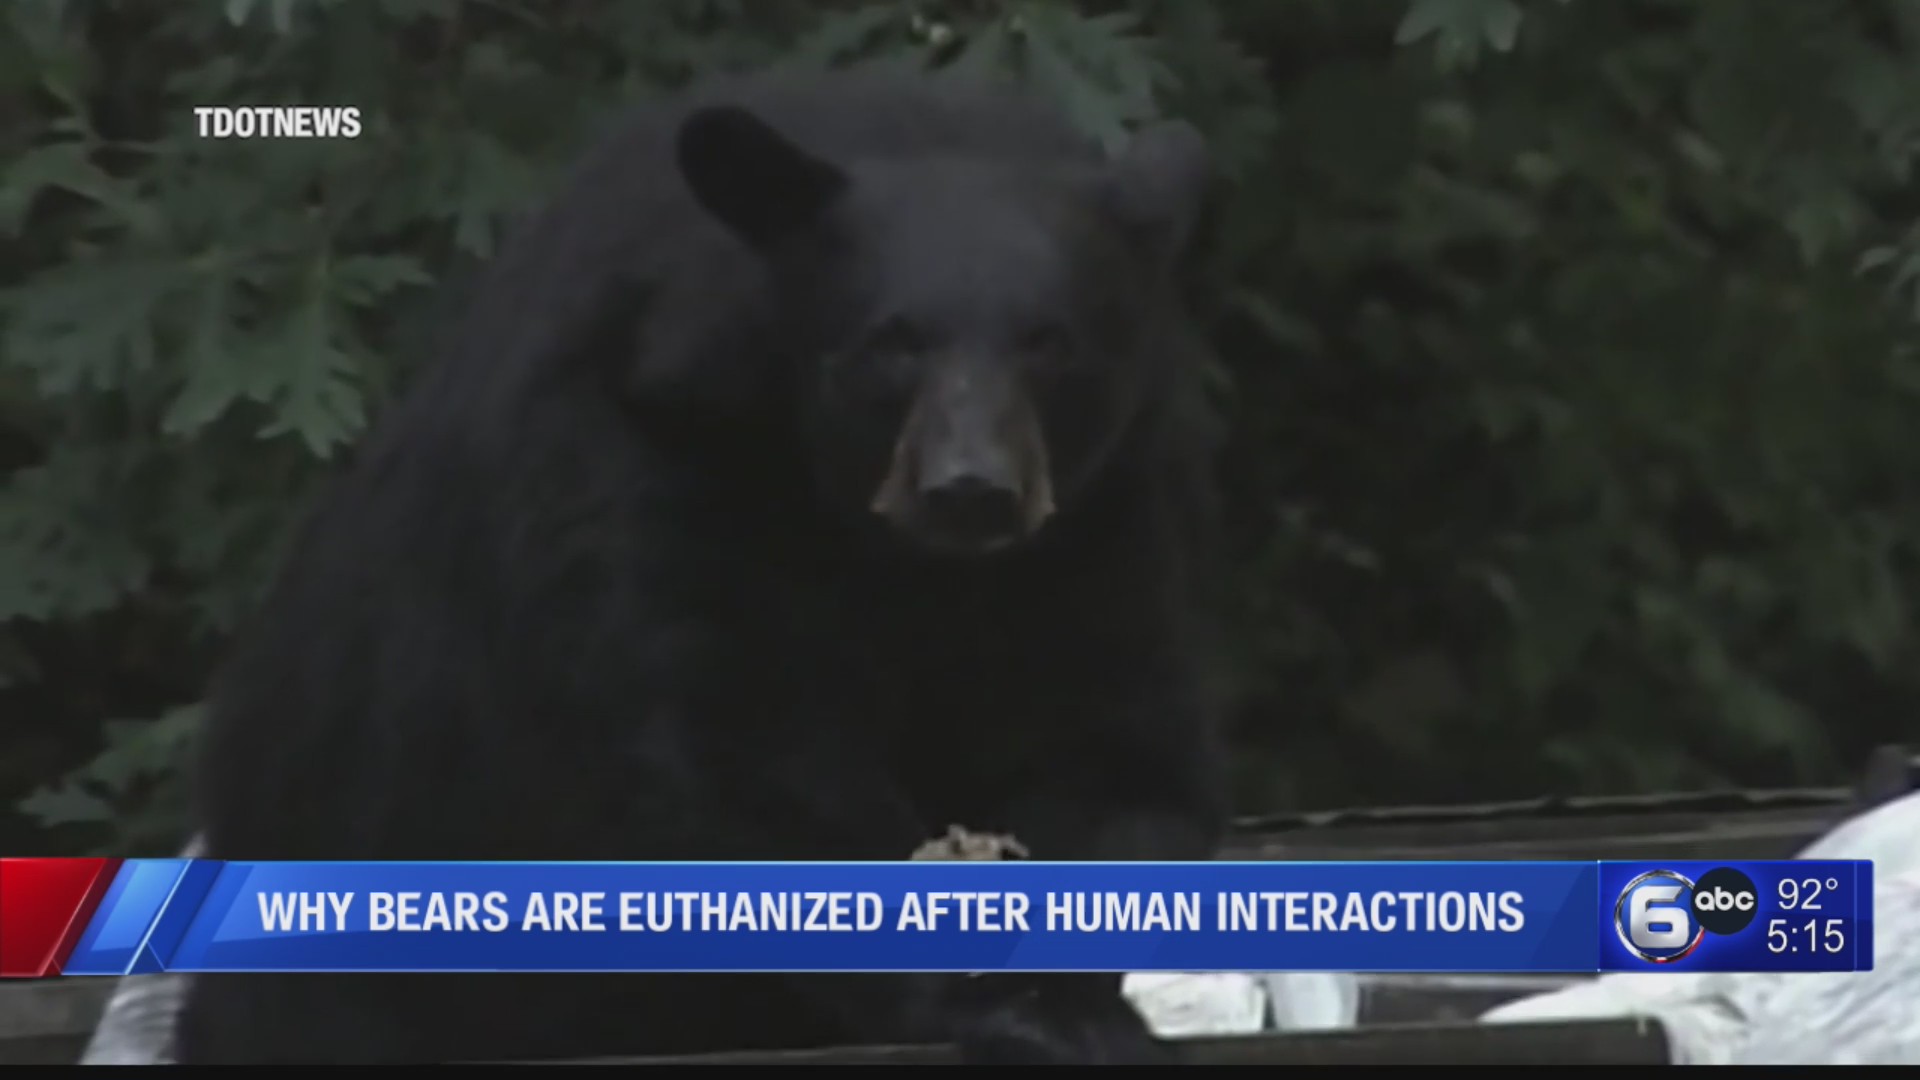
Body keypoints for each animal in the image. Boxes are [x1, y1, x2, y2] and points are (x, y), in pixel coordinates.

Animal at [173, 65, 1229, 1066]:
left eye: (1051, 344)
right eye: (890, 343)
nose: (970, 489)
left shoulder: (1104, 515)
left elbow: (1114, 742)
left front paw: (1065, 996)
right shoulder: (644, 456)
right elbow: (722, 740)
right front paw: (985, 988)